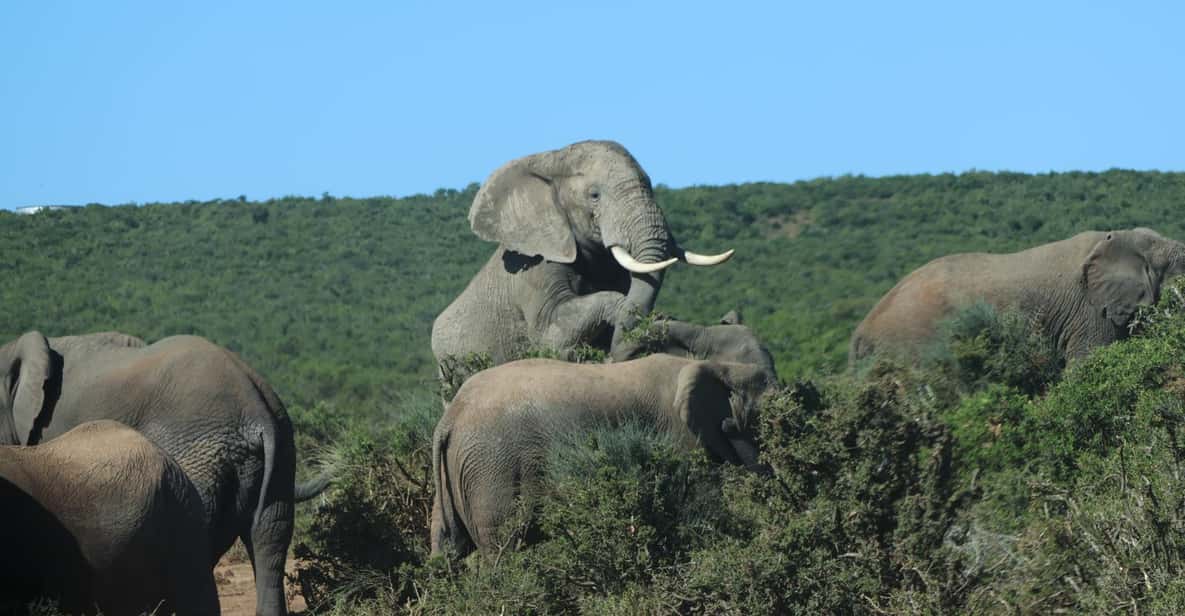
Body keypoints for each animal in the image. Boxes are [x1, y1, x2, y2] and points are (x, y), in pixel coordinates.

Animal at [430, 354, 775, 558]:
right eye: (764, 420)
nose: (730, 425)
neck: (720, 366)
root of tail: (451, 417)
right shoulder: (681, 437)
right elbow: (700, 502)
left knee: (448, 544)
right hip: (493, 469)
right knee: (505, 545)